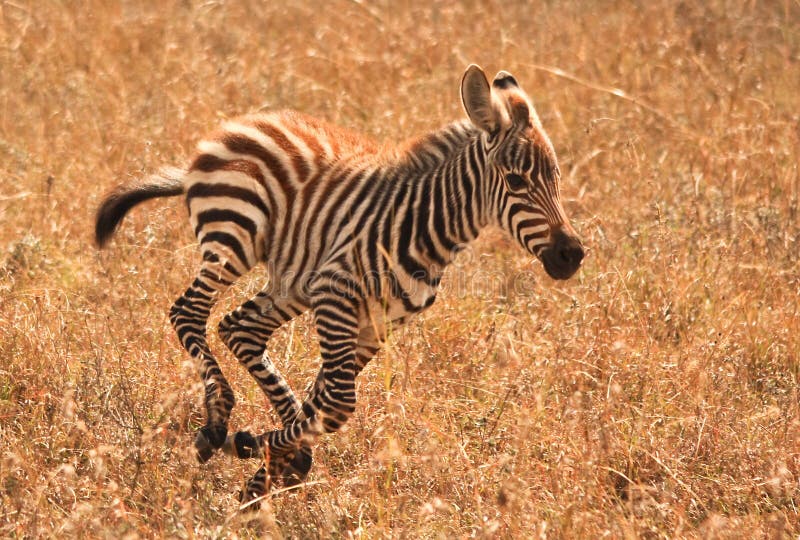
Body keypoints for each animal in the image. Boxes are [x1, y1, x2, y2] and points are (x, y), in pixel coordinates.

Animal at [94, 65, 585, 504]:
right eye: (516, 181)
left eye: (557, 178)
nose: (572, 255)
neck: (426, 225)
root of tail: (232, 129)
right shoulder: (336, 293)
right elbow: (339, 402)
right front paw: (256, 447)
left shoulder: (377, 322)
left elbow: (326, 399)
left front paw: (269, 471)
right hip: (236, 236)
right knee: (190, 311)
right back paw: (217, 423)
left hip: (292, 279)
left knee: (240, 327)